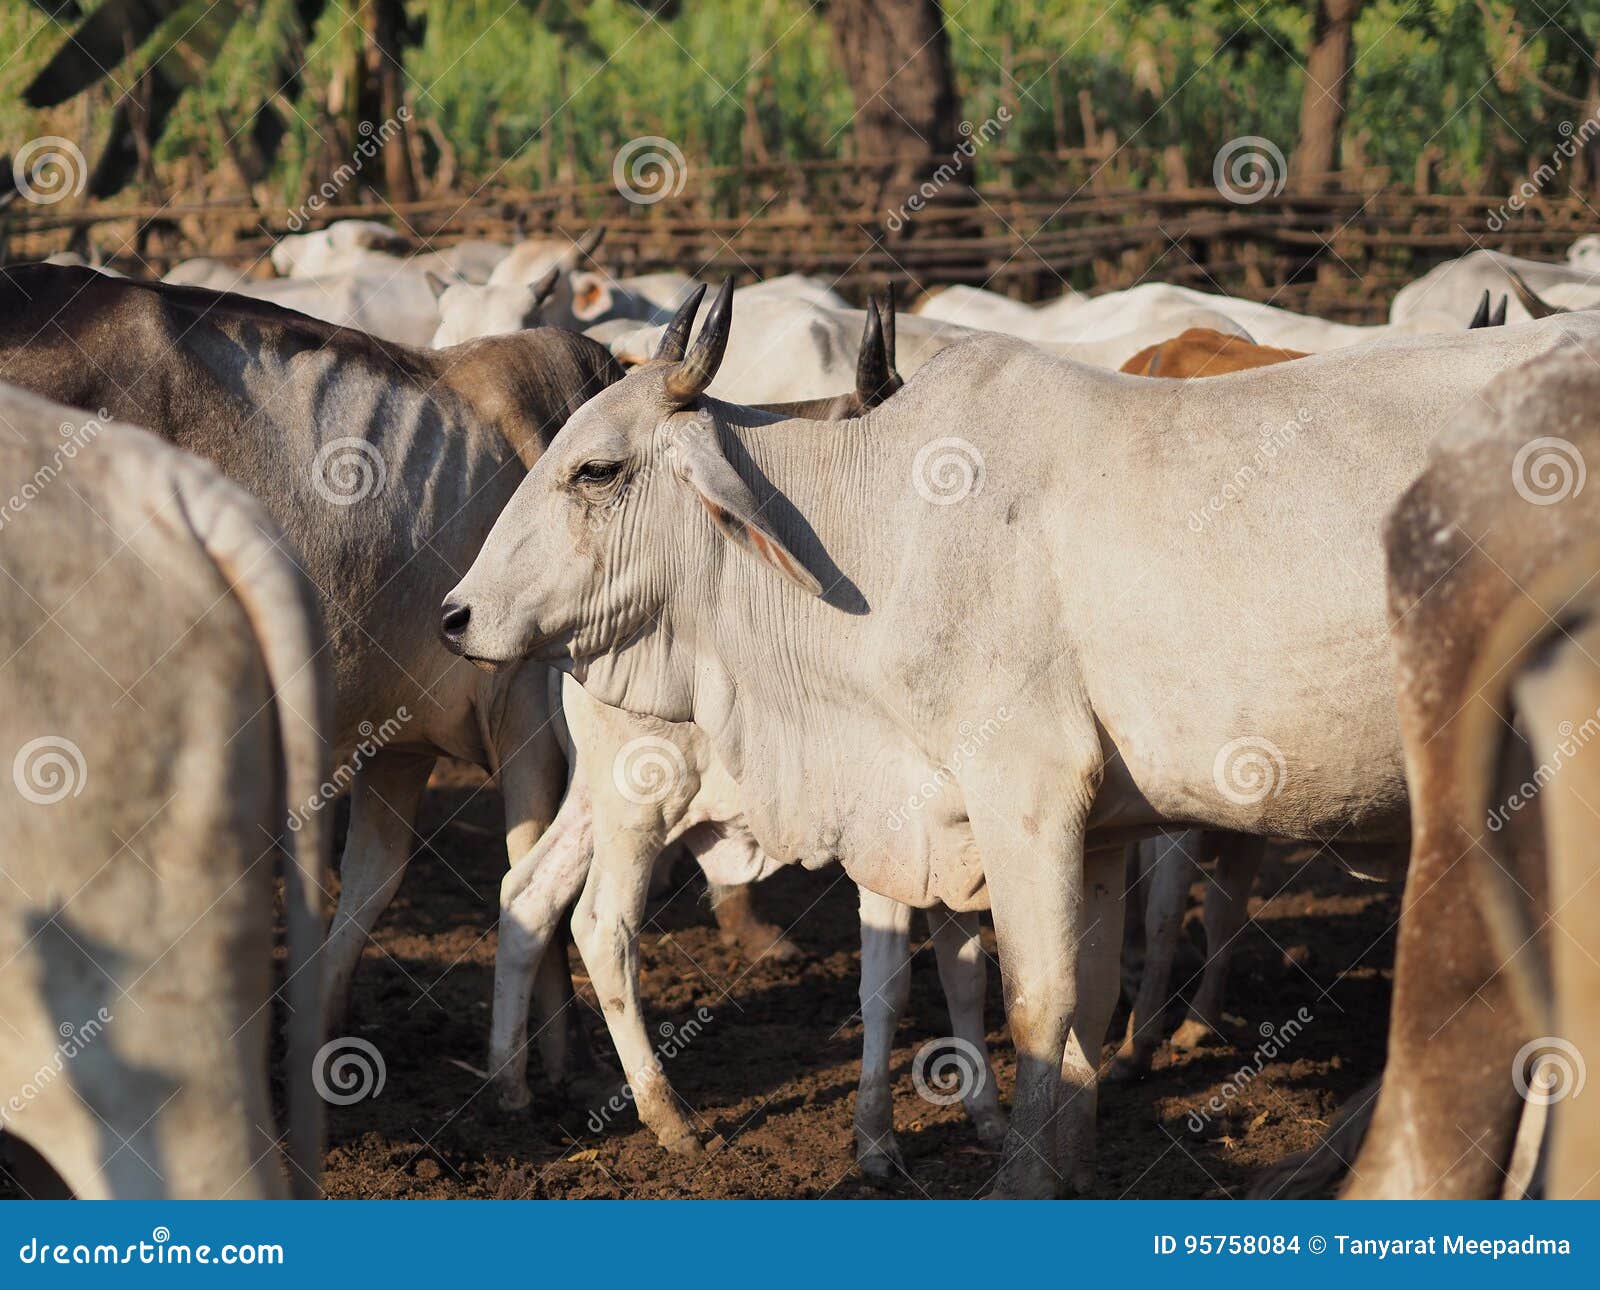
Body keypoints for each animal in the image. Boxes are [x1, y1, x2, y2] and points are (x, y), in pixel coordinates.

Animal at [440, 285, 1600, 1195]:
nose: (455, 616)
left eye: (595, 470)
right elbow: (1079, 1006)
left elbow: (1037, 1007)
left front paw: (1021, 1180)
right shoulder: (1094, 826)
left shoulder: (1026, 790)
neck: (884, 522)